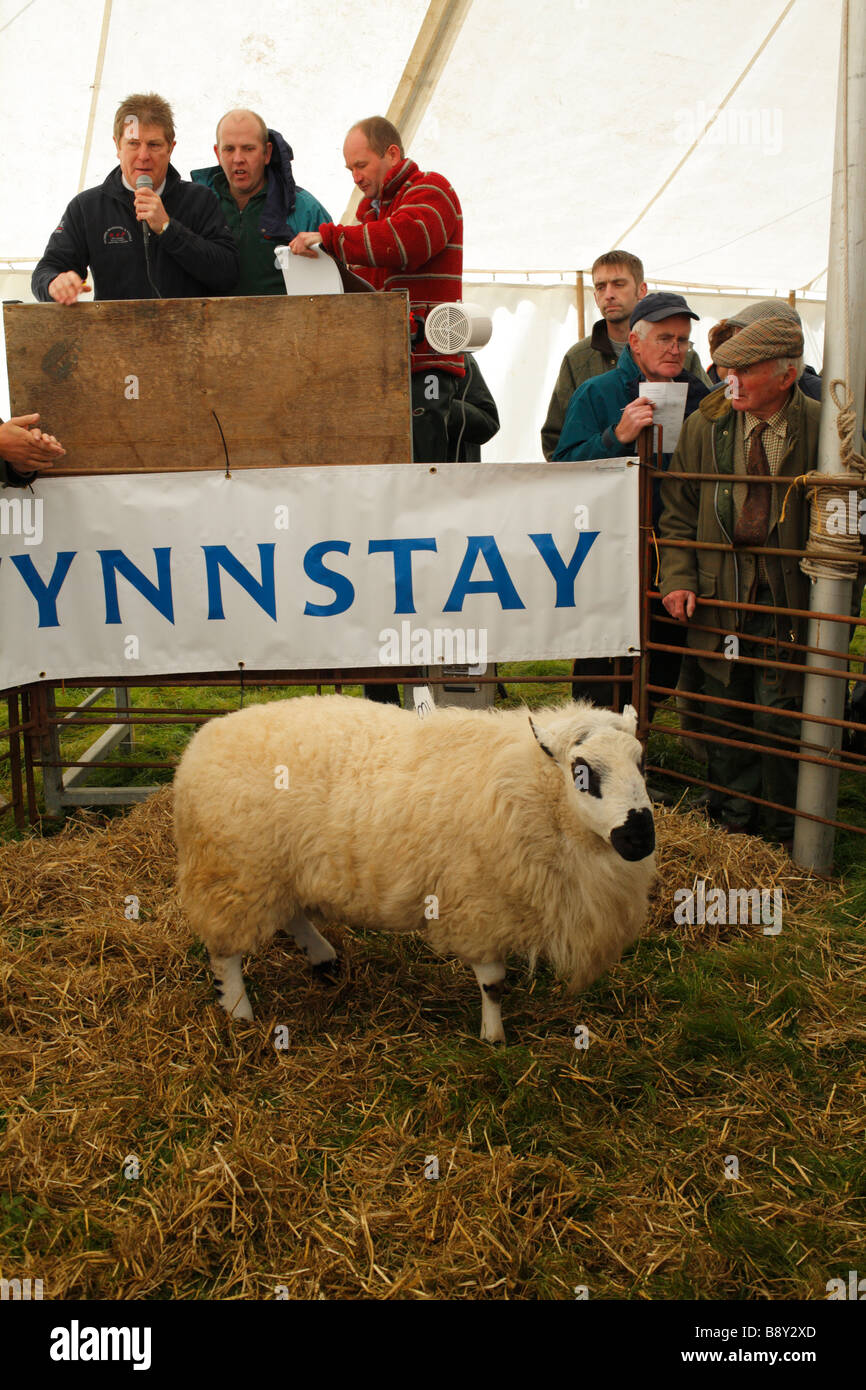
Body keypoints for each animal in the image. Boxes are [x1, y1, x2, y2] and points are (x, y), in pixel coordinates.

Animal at [172, 694, 656, 1044]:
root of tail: (199, 744)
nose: (640, 838)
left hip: (278, 869)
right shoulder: (479, 906)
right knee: (225, 953)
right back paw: (239, 1011)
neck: (533, 791)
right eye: (581, 769)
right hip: (233, 875)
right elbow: (493, 983)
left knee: (290, 914)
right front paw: (494, 1037)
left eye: (641, 761)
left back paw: (323, 957)